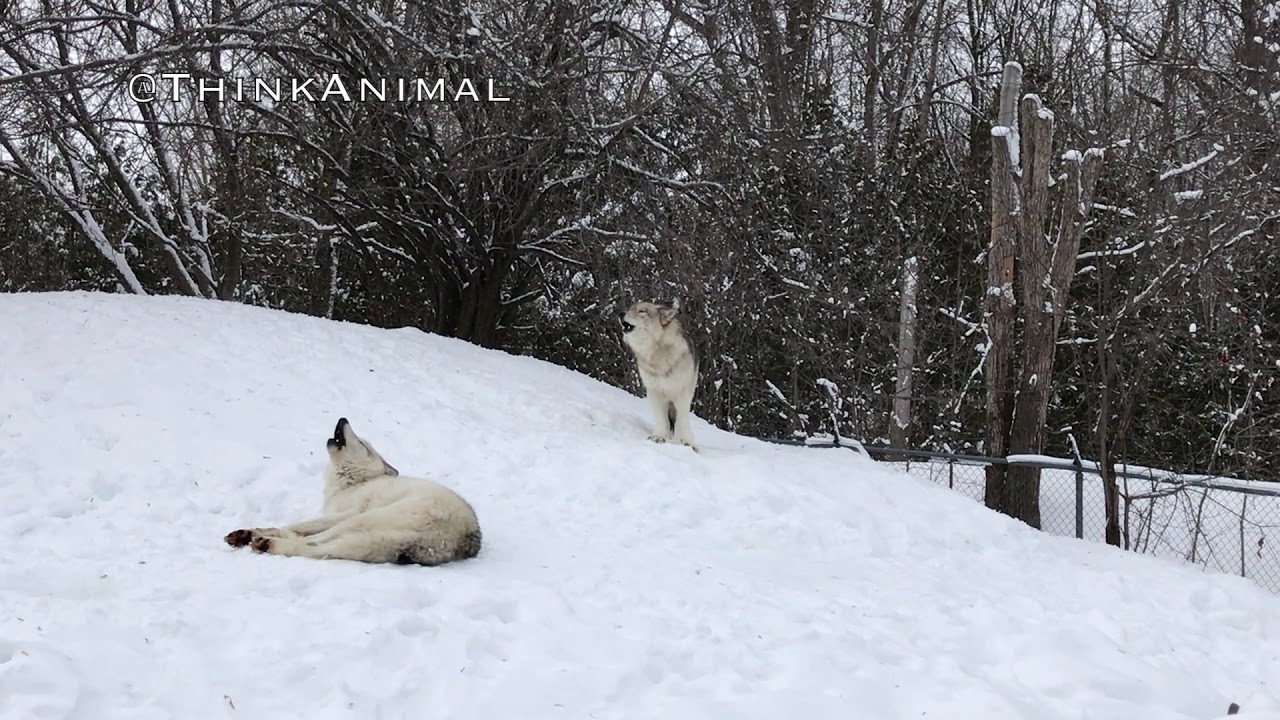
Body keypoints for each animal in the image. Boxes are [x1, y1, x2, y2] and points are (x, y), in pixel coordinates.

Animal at [224, 418, 481, 566]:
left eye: (364, 445)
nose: (343, 418)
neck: (352, 483)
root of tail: (459, 541)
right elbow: (290, 527)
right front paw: (247, 533)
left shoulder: (346, 512)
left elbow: (294, 527)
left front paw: (259, 533)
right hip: (365, 540)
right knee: (314, 549)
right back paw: (262, 543)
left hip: (361, 519)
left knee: (313, 542)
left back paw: (265, 543)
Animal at [620, 300, 699, 447]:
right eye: (629, 308)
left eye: (642, 311)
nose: (620, 313)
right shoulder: (655, 393)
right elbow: (662, 420)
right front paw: (658, 437)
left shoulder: (682, 394)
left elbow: (681, 421)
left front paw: (685, 442)